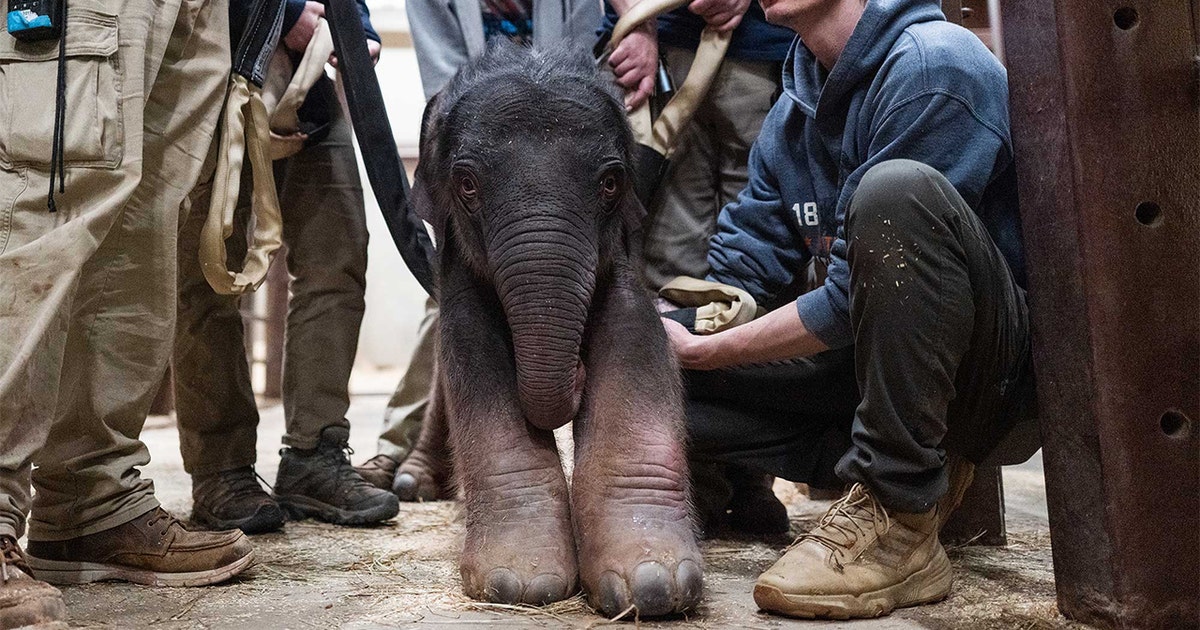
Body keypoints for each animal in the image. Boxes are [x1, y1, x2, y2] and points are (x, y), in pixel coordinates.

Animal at [399, 42, 703, 617]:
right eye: (467, 184)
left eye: (610, 183)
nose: (576, 373)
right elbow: (471, 352)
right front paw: (520, 582)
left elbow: (635, 342)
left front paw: (654, 582)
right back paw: (411, 481)